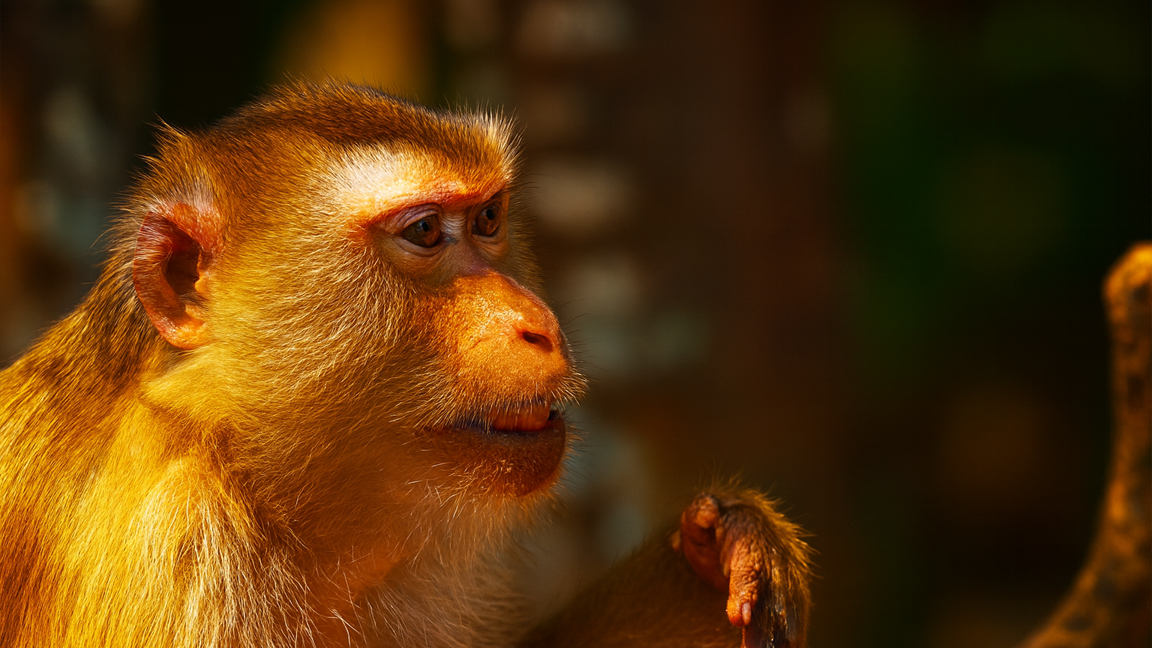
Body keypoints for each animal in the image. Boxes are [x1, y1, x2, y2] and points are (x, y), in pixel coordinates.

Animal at [0, 82, 812, 648]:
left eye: (488, 219)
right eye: (424, 232)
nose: (539, 325)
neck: (241, 462)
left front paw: (716, 551)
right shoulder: (171, 554)